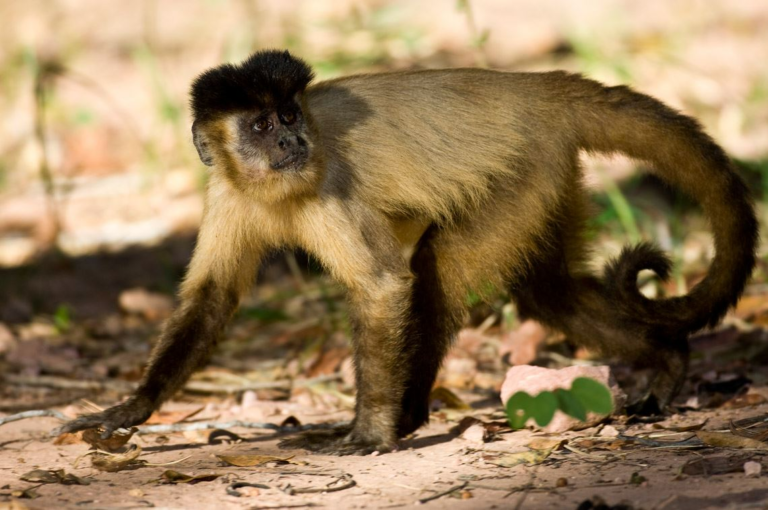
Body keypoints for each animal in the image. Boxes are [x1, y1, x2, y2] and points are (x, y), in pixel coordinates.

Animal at [55, 50, 757, 455]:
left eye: (289, 116)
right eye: (260, 125)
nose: (290, 141)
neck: (274, 188)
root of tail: (538, 90)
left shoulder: (325, 181)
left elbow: (384, 287)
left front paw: (369, 430)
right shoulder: (228, 192)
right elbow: (211, 299)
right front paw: (133, 408)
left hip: (524, 170)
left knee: (437, 275)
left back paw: (406, 417)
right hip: (551, 179)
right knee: (547, 293)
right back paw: (667, 360)